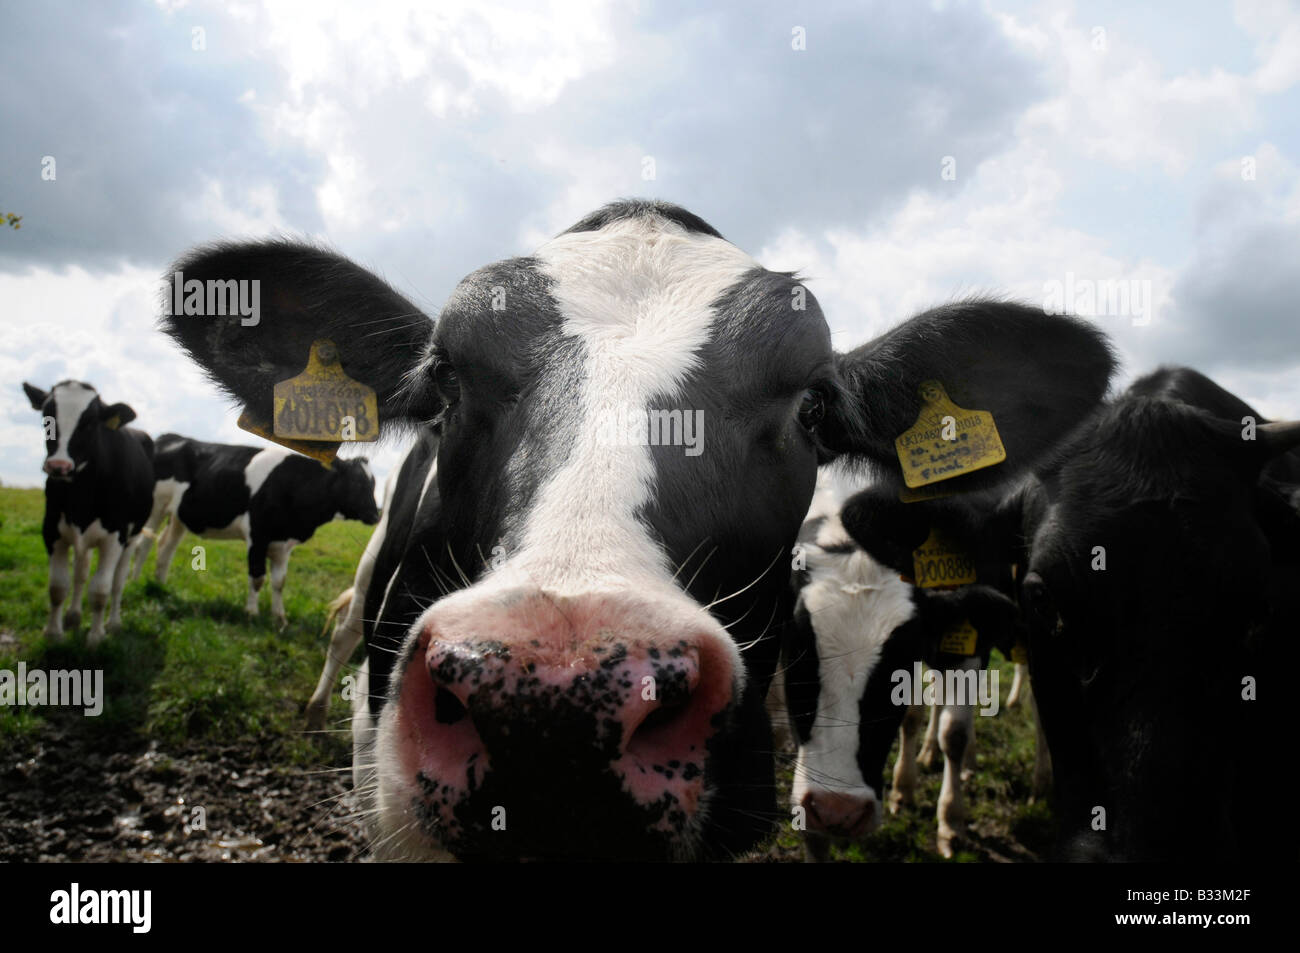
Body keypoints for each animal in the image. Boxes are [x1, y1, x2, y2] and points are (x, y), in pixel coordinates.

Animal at [22, 380, 155, 645]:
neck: (81, 494)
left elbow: (101, 589)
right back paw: (73, 616)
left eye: (90, 422)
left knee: (118, 580)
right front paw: (53, 633)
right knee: (81, 573)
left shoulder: (115, 537)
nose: (58, 466)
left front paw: (95, 637)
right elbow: (57, 586)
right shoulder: (52, 531)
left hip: (132, 537)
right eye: (46, 416)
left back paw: (113, 623)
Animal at [130, 434, 380, 626]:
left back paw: (160, 584)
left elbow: (280, 582)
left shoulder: (284, 545)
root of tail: (170, 438)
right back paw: (135, 580)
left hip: (178, 516)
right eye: (357, 483)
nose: (375, 515)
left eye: (373, 484)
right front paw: (251, 613)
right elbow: (257, 577)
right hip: (155, 506)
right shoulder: (257, 536)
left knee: (166, 546)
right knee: (143, 544)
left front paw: (280, 618)